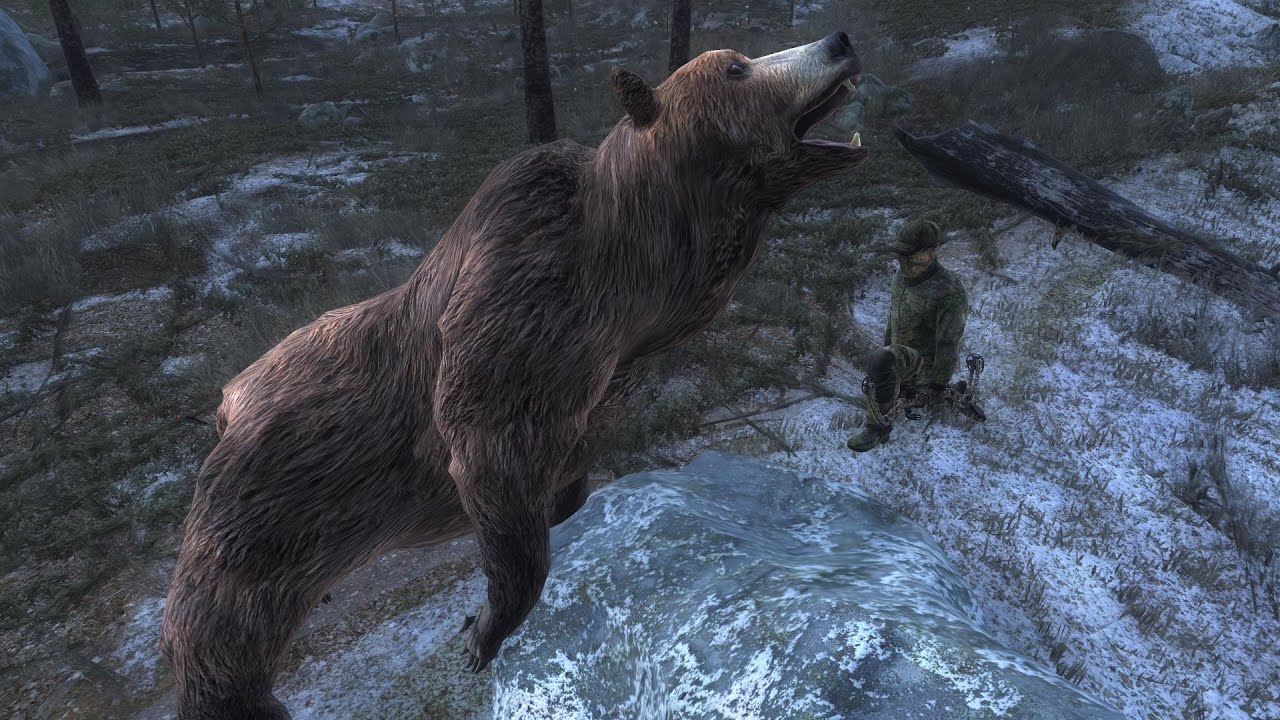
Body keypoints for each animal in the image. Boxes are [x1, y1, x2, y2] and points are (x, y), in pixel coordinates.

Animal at [160, 31, 866, 719]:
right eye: (737, 68)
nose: (838, 39)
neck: (637, 276)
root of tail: (227, 401)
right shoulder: (524, 306)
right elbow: (493, 456)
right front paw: (485, 629)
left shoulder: (602, 374)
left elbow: (565, 476)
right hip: (278, 495)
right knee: (219, 614)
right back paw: (246, 698)